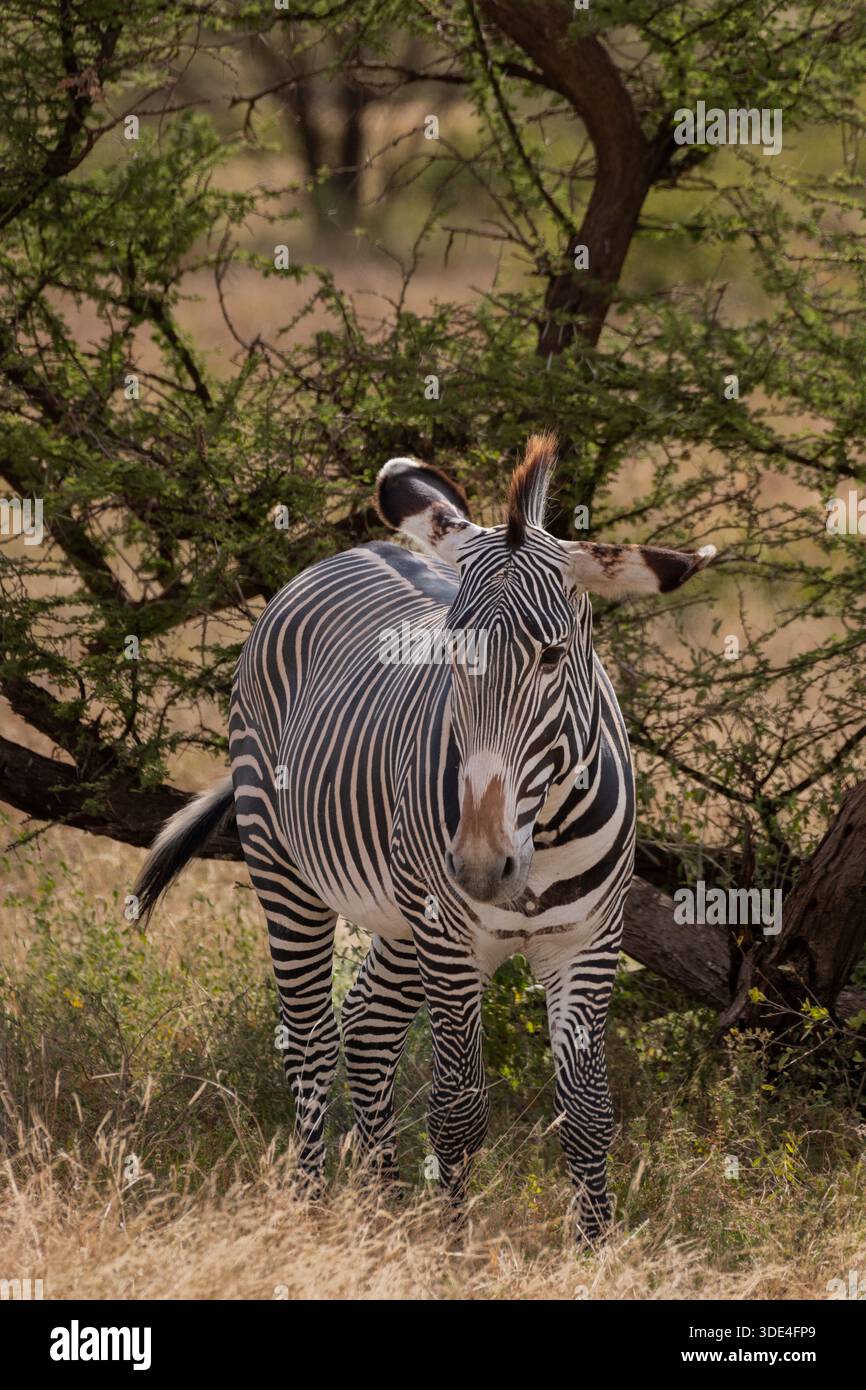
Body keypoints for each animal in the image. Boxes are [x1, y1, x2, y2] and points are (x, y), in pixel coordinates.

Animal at [135, 433, 715, 1241]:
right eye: (447, 655)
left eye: (552, 656)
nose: (479, 866)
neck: (540, 832)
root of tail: (355, 550)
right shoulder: (450, 943)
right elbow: (458, 1112)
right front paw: (454, 1249)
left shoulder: (589, 942)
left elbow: (589, 1115)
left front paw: (594, 1249)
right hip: (285, 869)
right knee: (310, 1039)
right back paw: (313, 1210)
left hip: (399, 918)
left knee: (368, 1030)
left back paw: (382, 1211)